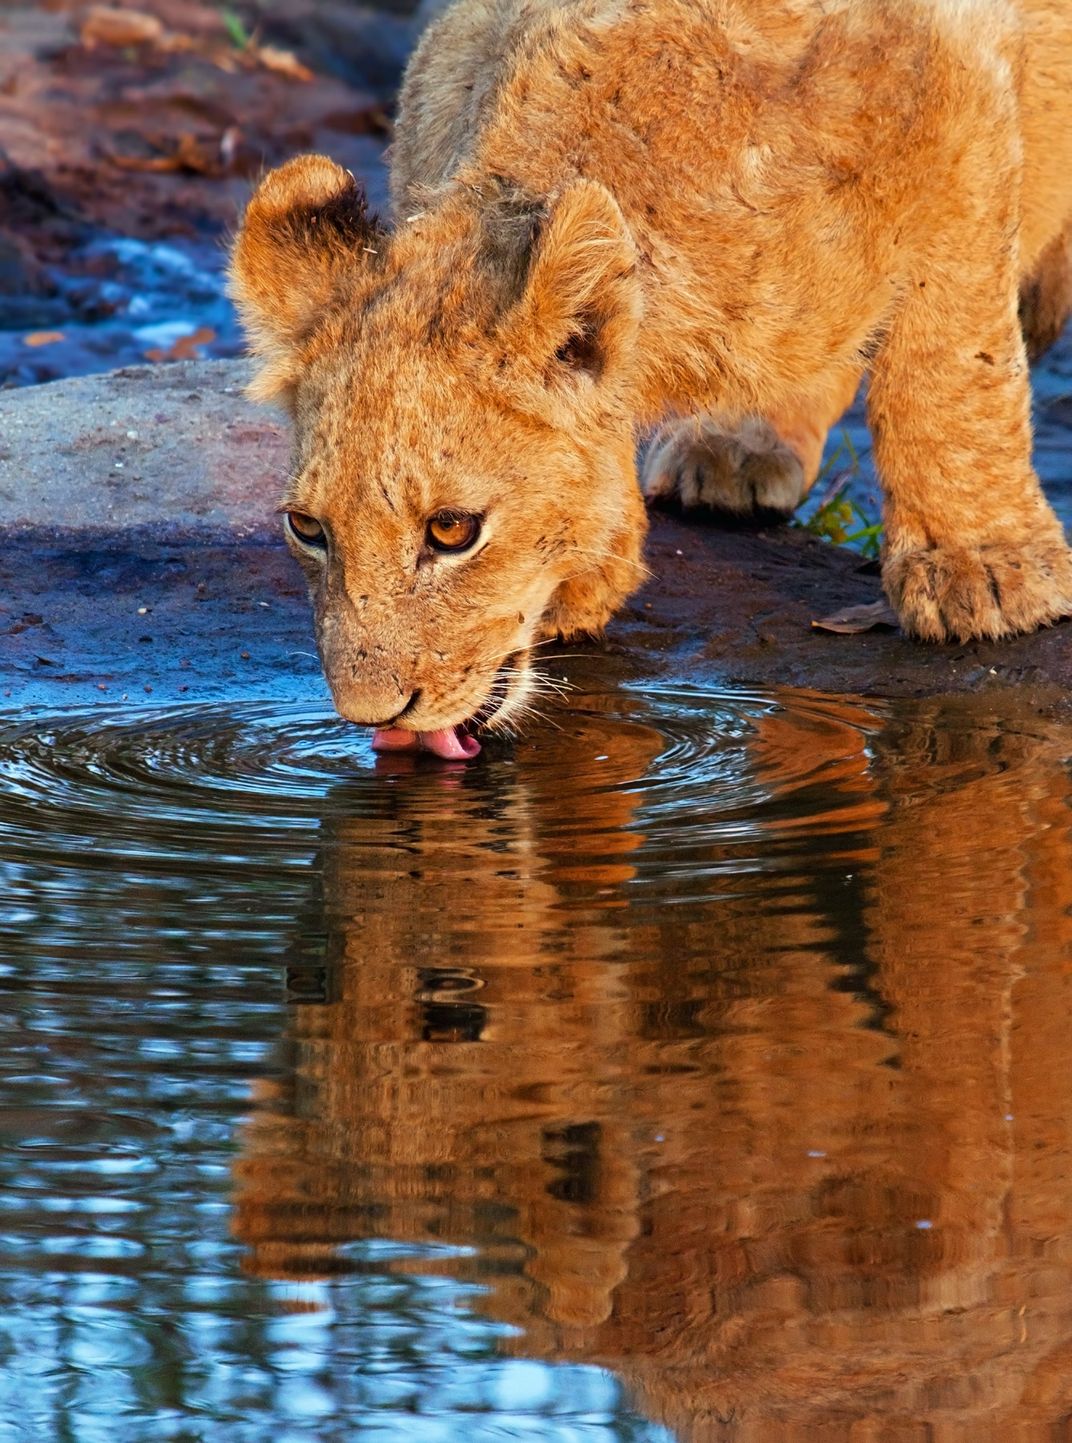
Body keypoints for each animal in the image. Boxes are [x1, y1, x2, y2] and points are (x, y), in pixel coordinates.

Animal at [230, 0, 1072, 759]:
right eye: (307, 528)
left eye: (451, 530)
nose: (369, 714)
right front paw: (591, 571)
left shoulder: (958, 93)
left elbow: (950, 353)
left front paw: (984, 566)